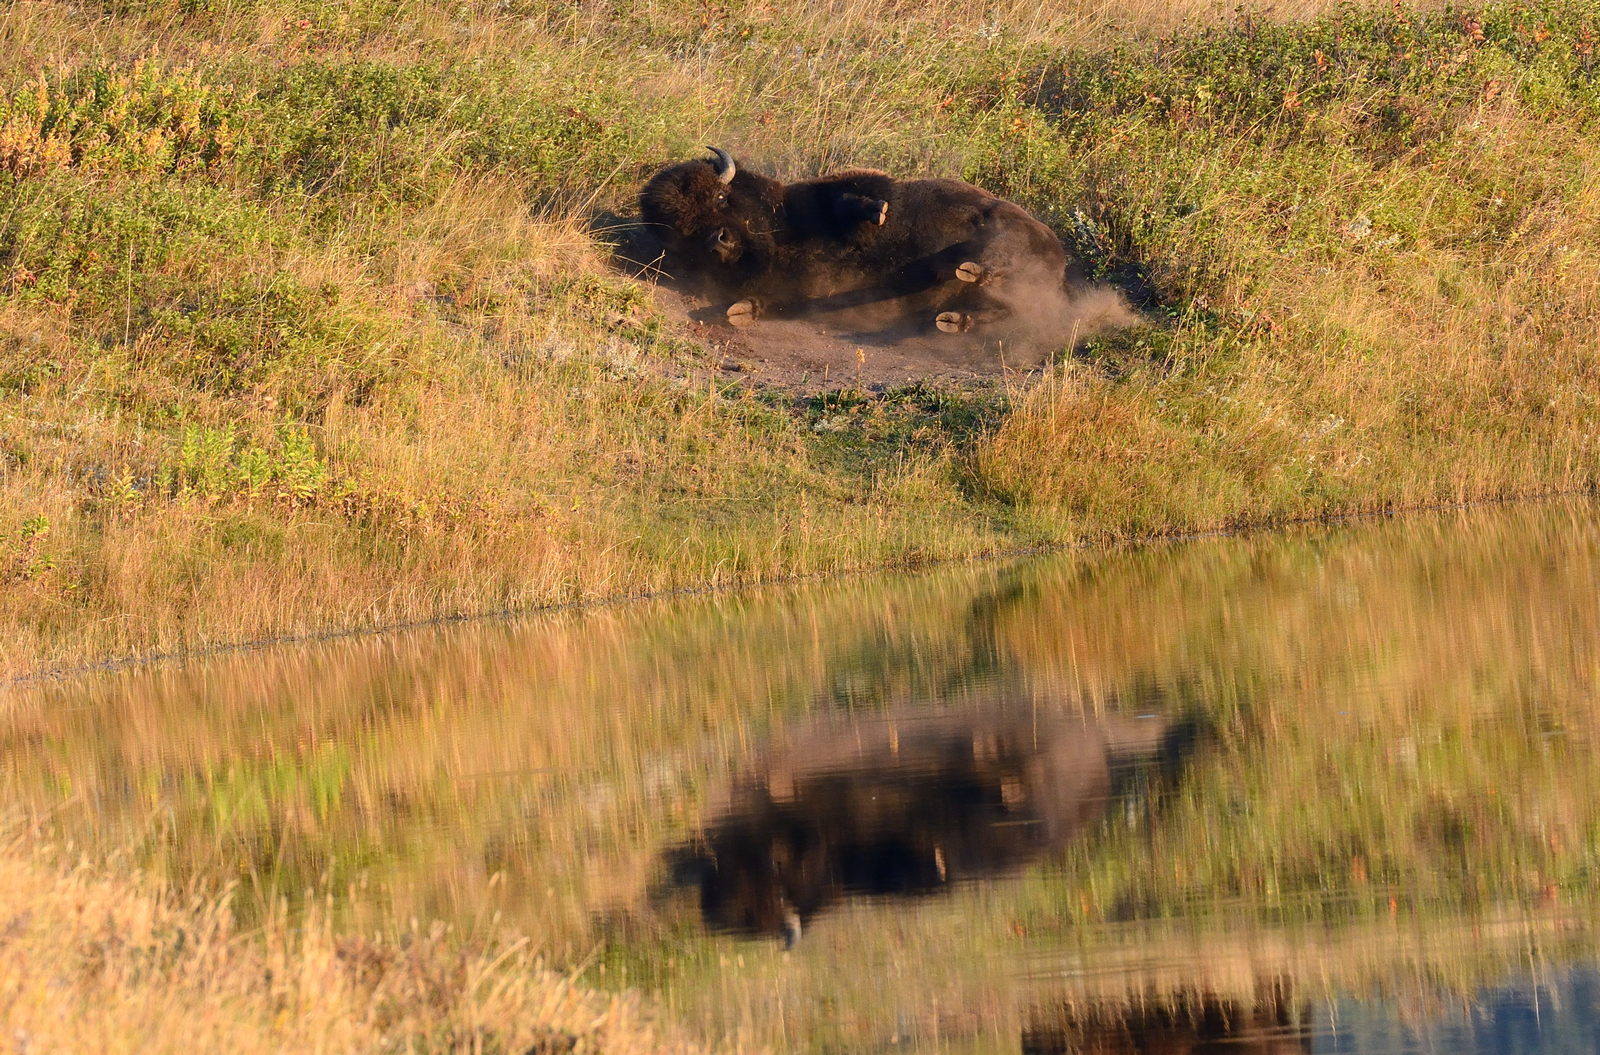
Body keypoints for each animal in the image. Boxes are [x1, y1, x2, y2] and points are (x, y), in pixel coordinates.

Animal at [638, 146, 1086, 342]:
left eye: (719, 197)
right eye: (686, 230)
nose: (720, 243)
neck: (779, 235)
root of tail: (1061, 262)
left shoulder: (835, 194)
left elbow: (854, 201)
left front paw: (880, 212)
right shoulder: (789, 291)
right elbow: (763, 303)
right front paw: (739, 312)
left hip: (1009, 236)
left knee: (994, 262)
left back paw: (967, 271)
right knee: (997, 308)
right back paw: (950, 319)